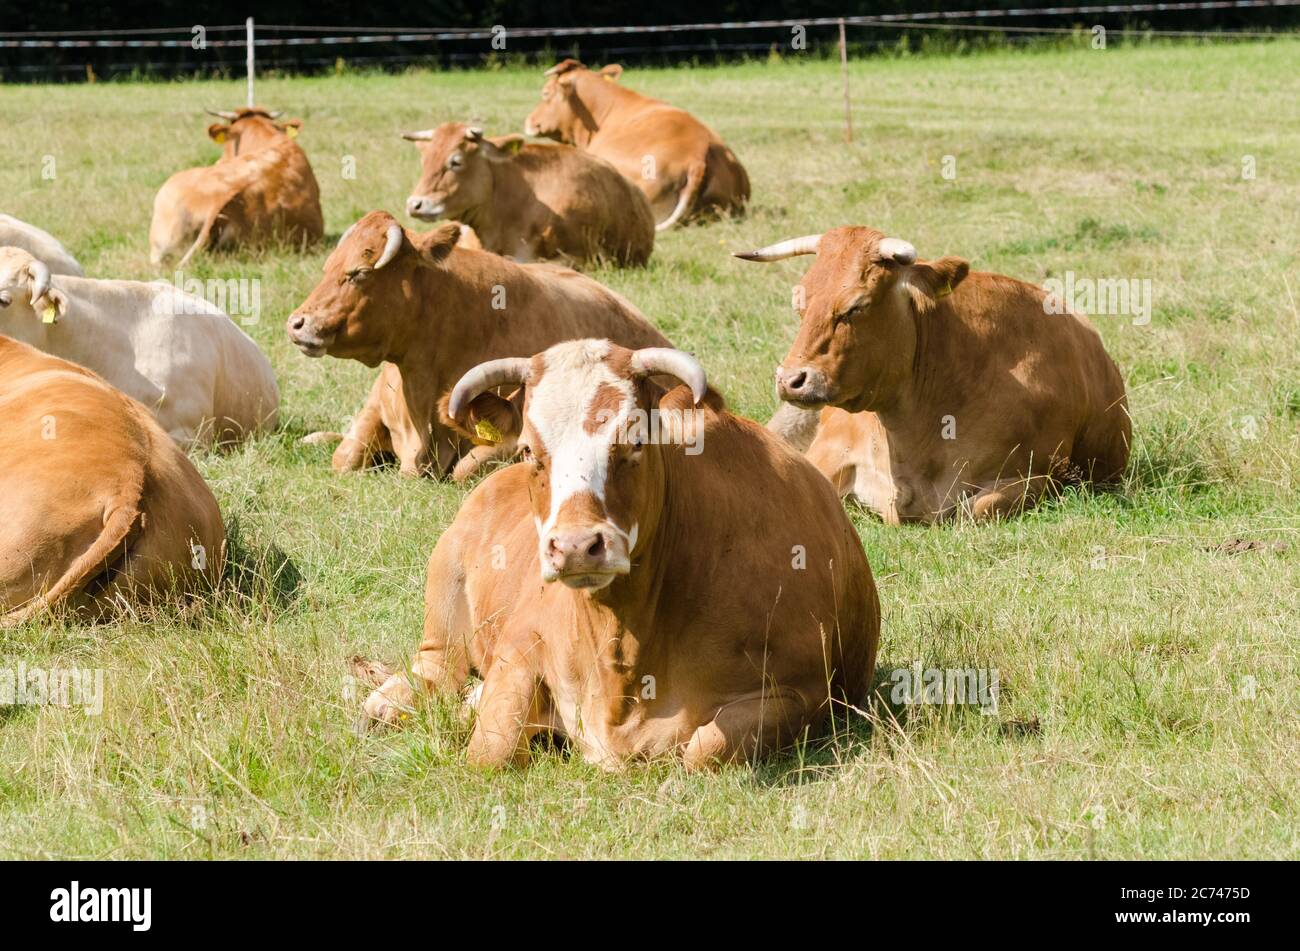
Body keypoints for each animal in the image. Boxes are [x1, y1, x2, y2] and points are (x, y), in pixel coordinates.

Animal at [355, 339, 880, 770]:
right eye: (529, 451)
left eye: (635, 440)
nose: (575, 547)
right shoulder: (521, 641)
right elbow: (491, 750)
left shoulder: (803, 691)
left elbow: (704, 748)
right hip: (444, 598)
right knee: (435, 671)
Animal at [736, 226, 1131, 522]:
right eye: (799, 303)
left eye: (856, 306)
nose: (791, 379)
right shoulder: (828, 453)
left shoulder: (1040, 475)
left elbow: (977, 508)